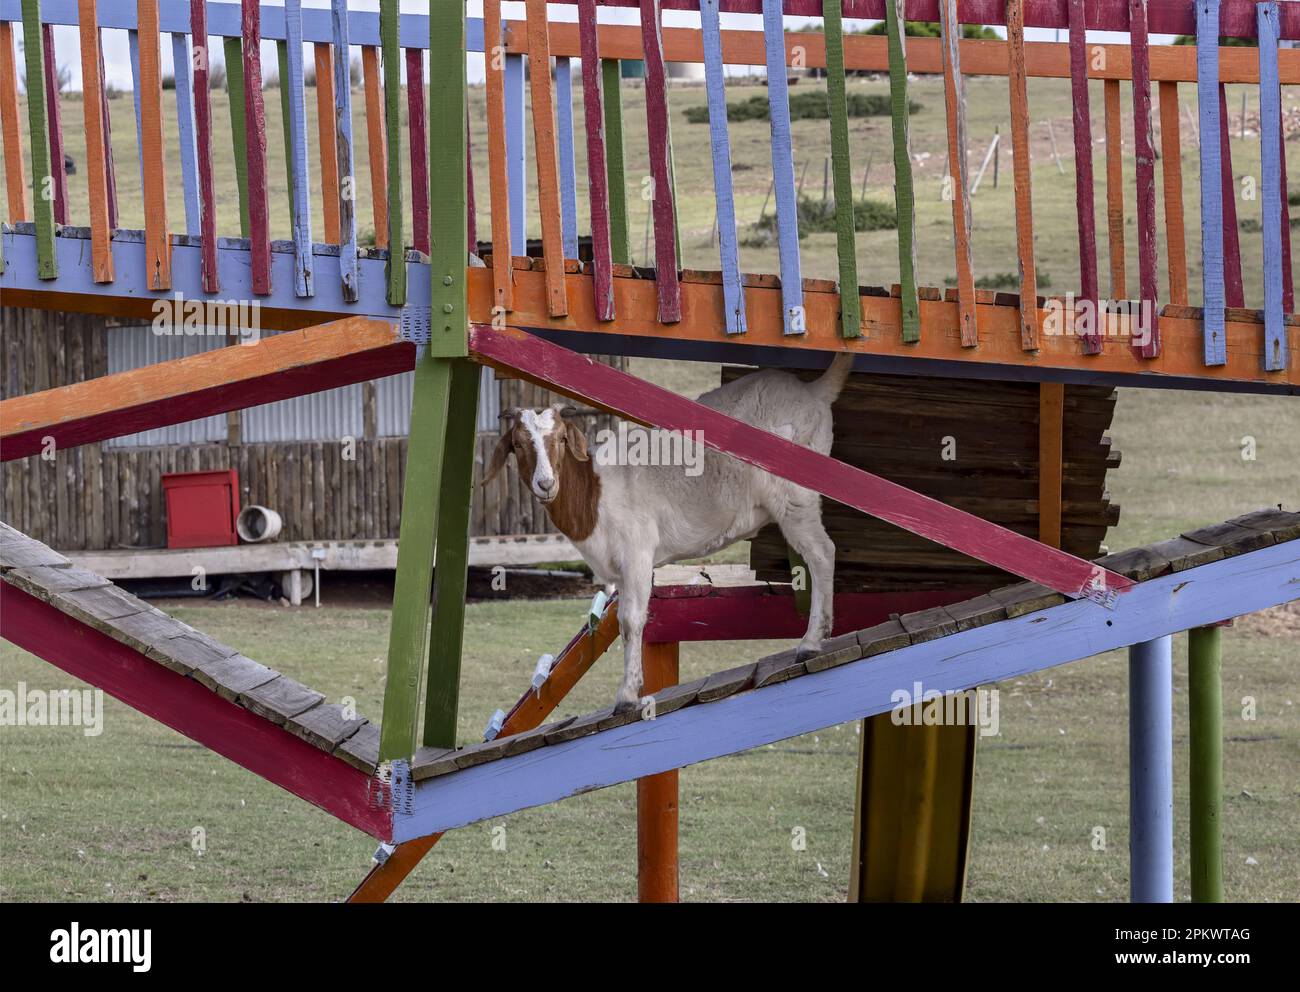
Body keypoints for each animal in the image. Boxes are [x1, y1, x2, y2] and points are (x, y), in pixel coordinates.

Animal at [482, 353, 853, 712]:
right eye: (517, 444)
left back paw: (810, 642)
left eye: (560, 438)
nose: (545, 484)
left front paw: (627, 696)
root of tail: (814, 392)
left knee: (822, 553)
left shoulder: (637, 552)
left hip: (795, 495)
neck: (595, 490)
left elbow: (631, 620)